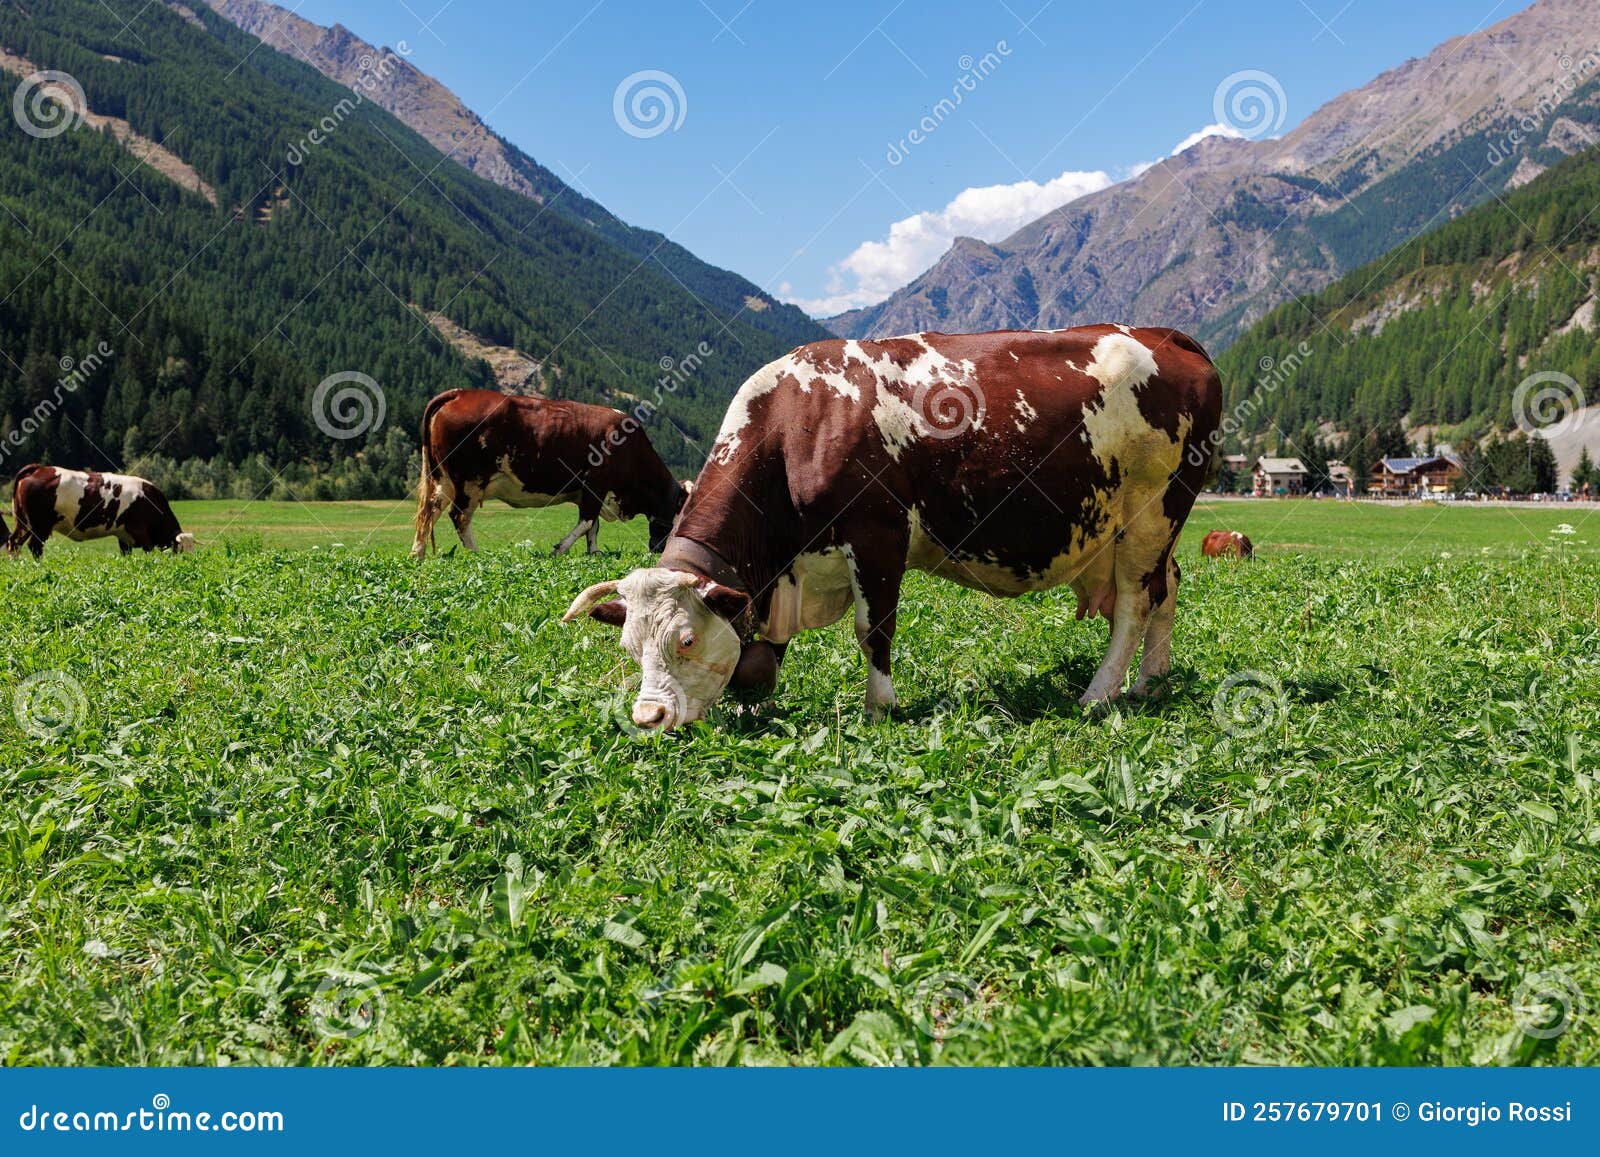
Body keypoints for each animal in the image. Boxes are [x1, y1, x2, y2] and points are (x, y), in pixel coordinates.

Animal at [7, 465, 196, 558]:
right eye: (180, 550)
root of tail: (39, 468)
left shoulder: (124, 537)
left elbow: (126, 555)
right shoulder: (140, 531)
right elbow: (148, 551)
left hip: (24, 523)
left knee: (14, 542)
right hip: (40, 525)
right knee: (34, 547)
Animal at [412, 389, 689, 558]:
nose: (662, 550)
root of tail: (459, 393)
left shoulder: (591, 492)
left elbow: (593, 527)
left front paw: (594, 552)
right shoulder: (596, 485)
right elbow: (587, 521)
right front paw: (560, 549)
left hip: (444, 481)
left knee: (429, 512)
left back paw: (418, 554)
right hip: (470, 481)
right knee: (459, 516)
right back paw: (476, 553)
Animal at [563, 325, 1222, 731]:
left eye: (685, 641)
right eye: (628, 647)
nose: (648, 719)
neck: (798, 424)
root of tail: (1166, 336)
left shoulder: (876, 534)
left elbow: (872, 628)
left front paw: (879, 706)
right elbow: (759, 655)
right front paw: (754, 704)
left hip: (1151, 512)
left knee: (1135, 602)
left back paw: (1099, 693)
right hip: (1140, 531)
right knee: (1167, 588)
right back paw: (1150, 683)